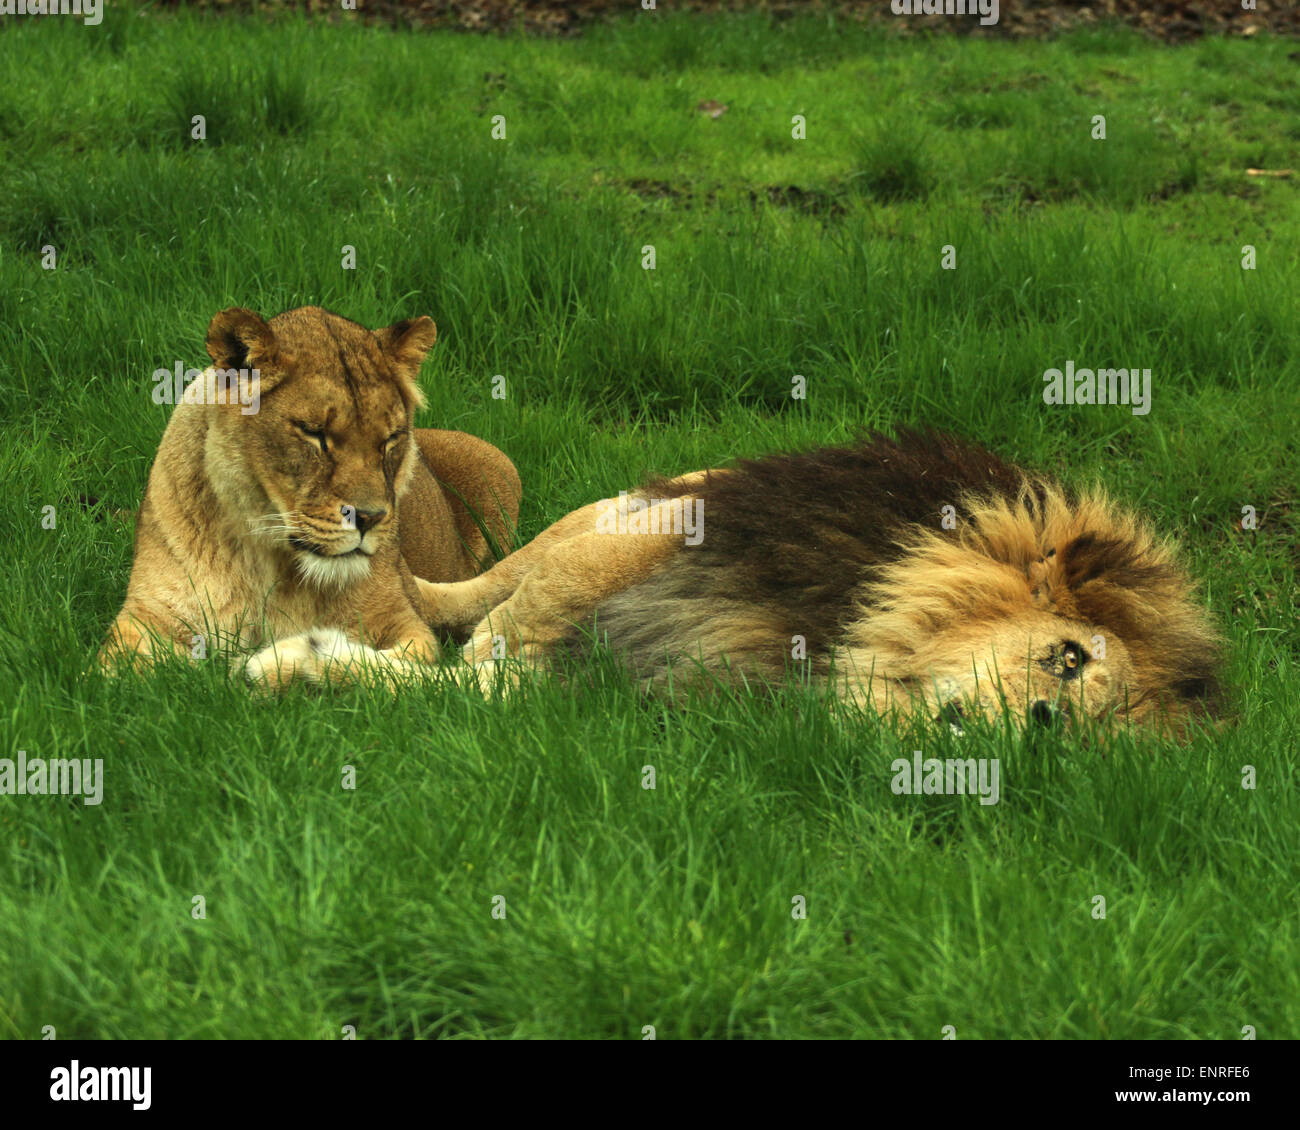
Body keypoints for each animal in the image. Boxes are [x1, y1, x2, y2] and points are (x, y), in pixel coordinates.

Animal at [99, 305, 520, 687]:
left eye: (389, 440)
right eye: (315, 433)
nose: (369, 518)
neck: (269, 560)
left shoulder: (405, 623)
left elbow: (392, 662)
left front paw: (275, 666)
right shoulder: (145, 618)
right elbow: (118, 672)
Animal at [422, 429, 1223, 737]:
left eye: (1093, 734)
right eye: (1068, 657)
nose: (1044, 727)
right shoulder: (701, 527)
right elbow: (505, 636)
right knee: (489, 591)